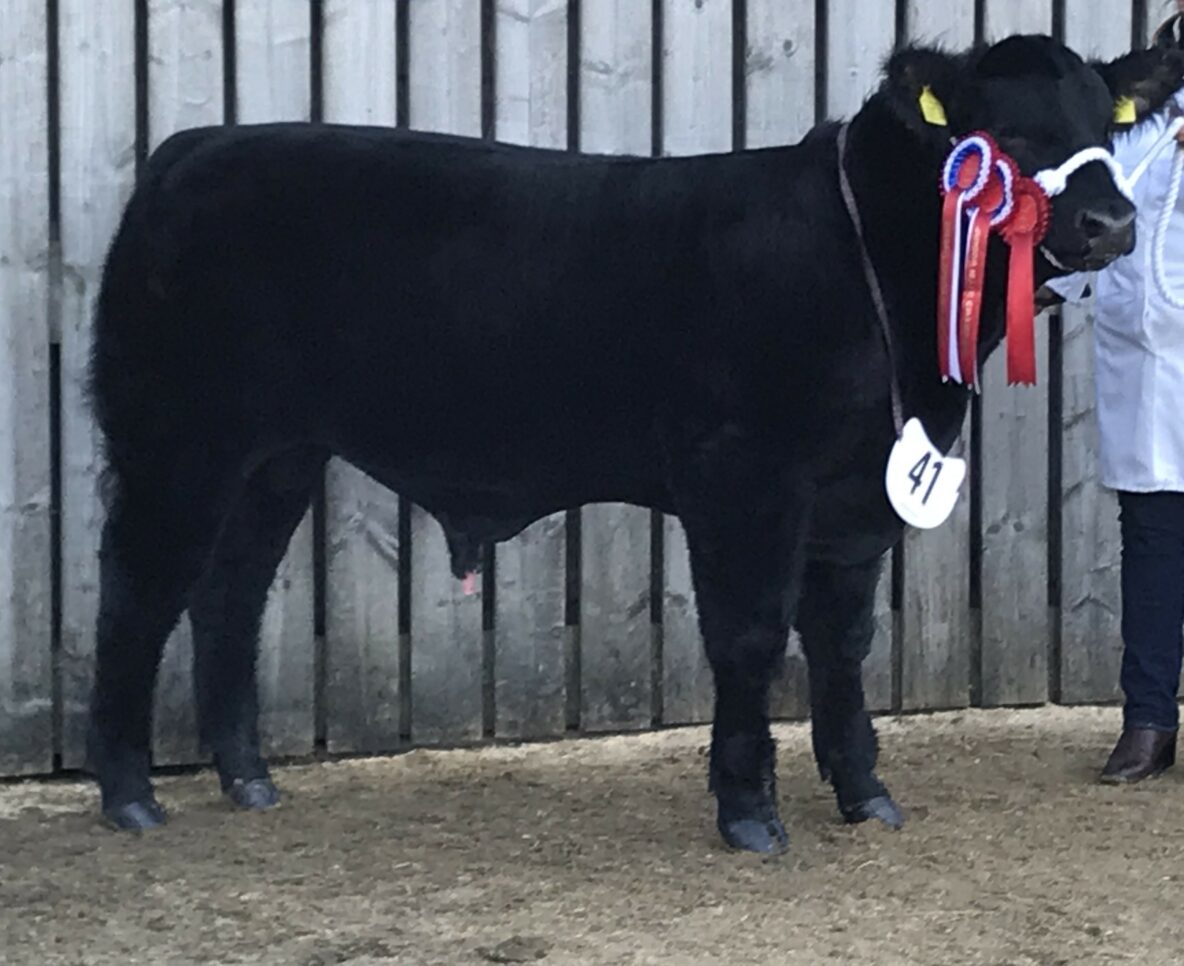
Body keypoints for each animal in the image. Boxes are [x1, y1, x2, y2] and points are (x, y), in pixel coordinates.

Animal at [85, 33, 1183, 853]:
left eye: (1104, 125)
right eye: (1006, 129)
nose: (1108, 222)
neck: (865, 261)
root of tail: (196, 146)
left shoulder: (853, 499)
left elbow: (842, 645)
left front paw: (864, 793)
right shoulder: (743, 478)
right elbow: (749, 637)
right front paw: (747, 812)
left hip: (275, 457)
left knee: (227, 594)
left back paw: (248, 780)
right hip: (175, 437)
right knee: (139, 591)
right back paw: (128, 793)